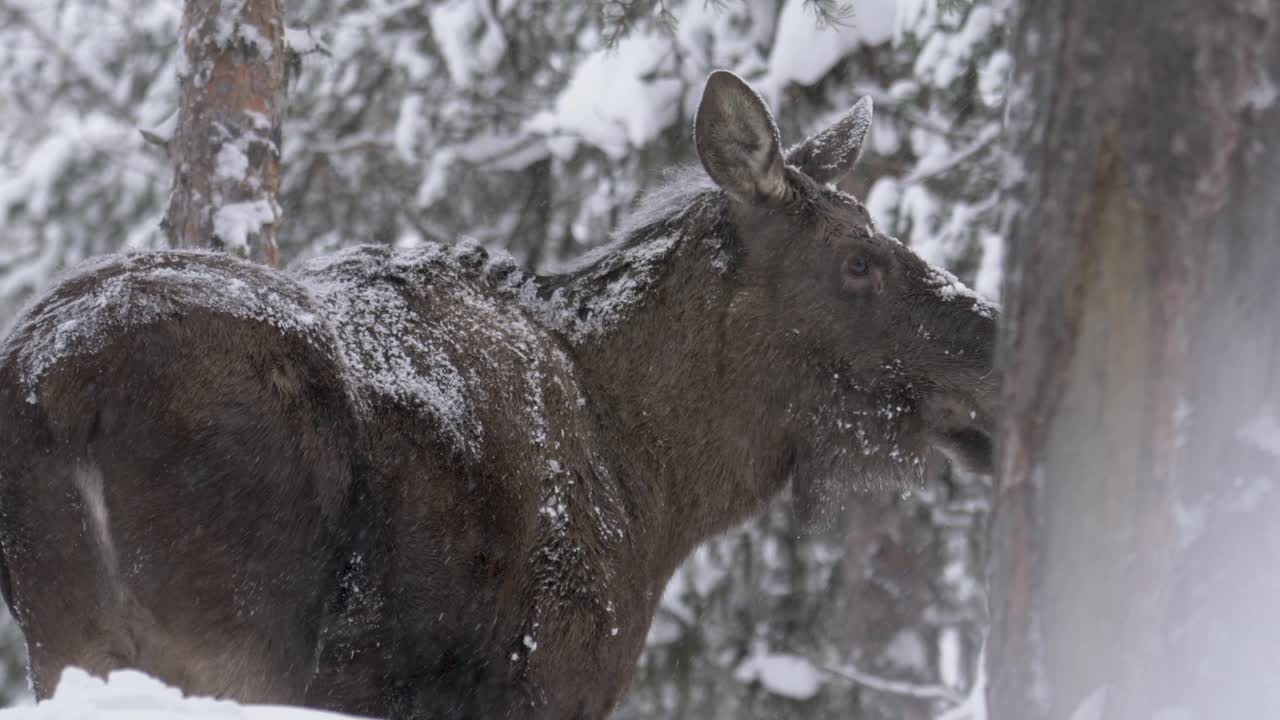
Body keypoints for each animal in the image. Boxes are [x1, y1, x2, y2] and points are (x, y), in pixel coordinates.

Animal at [0, 71, 998, 719]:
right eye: (860, 259)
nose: (1000, 345)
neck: (659, 485)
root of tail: (61, 388)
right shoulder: (552, 676)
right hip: (228, 641)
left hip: (71, 637)